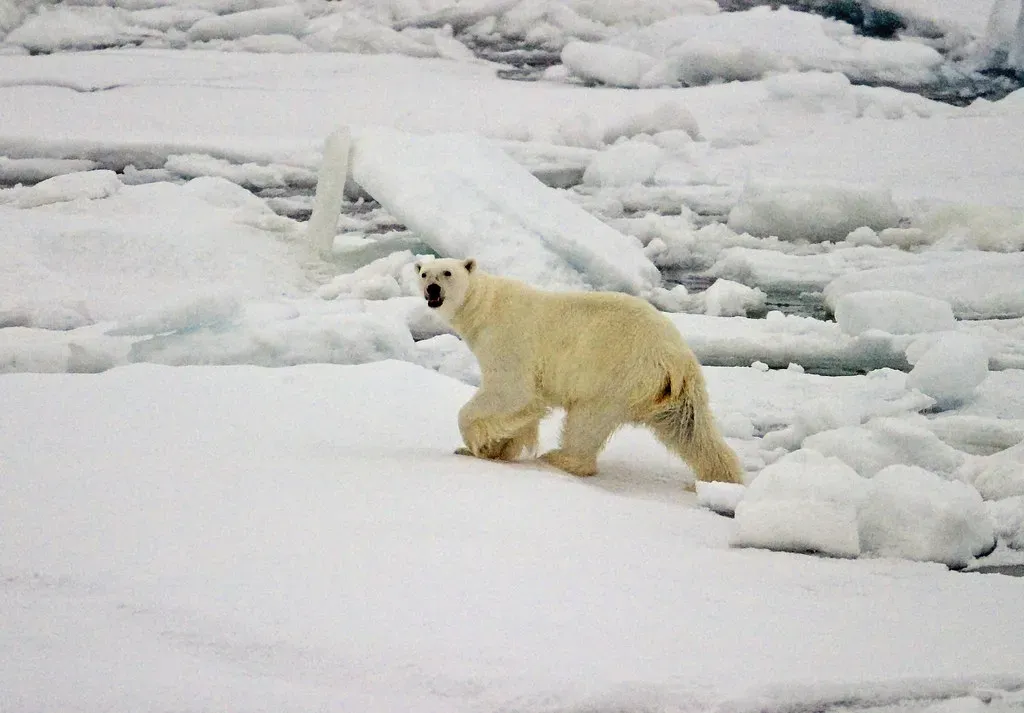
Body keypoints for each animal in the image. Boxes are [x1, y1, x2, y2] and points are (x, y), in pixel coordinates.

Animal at [414, 257, 744, 485]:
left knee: (586, 420)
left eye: (447, 272)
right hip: (674, 390)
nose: (432, 288)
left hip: (615, 372)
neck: (485, 307)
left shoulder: (508, 339)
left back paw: (560, 459)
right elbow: (522, 408)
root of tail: (675, 357)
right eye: (423, 273)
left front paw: (478, 443)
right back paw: (722, 475)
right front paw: (499, 447)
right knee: (690, 428)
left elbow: (511, 391)